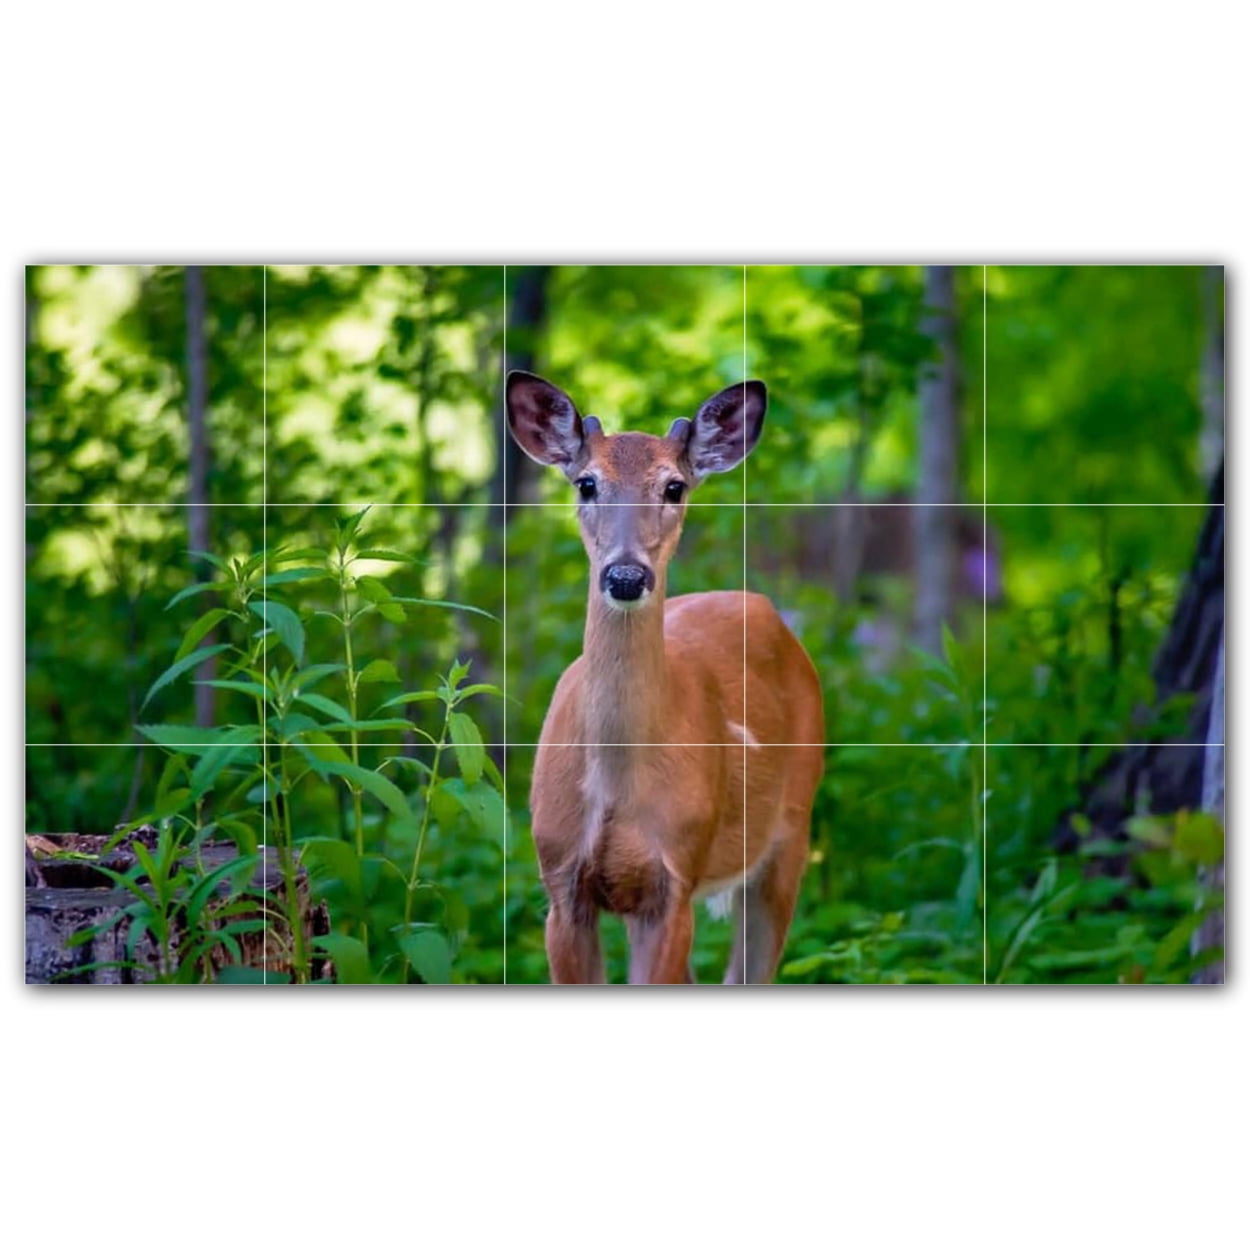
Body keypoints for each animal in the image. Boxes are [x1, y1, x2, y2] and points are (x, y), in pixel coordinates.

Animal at [506, 371, 825, 984]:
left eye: (675, 487)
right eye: (586, 483)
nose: (627, 576)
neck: (615, 786)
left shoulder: (675, 877)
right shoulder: (560, 883)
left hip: (790, 832)